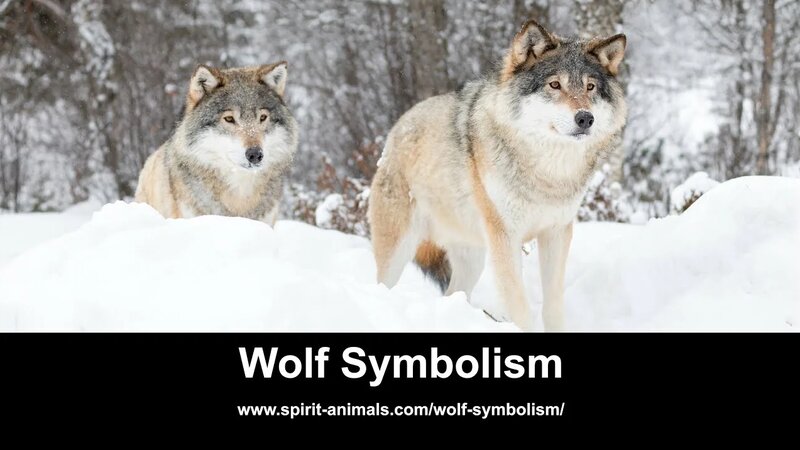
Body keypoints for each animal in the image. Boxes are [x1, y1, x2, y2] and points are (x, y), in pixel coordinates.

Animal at [368, 19, 627, 331]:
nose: (585, 118)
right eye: (555, 84)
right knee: (381, 286)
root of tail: (397, 128)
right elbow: (519, 306)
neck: (547, 174)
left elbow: (552, 305)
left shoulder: (556, 232)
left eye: (590, 87)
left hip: (473, 258)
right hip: (398, 252)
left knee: (453, 294)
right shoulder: (505, 236)